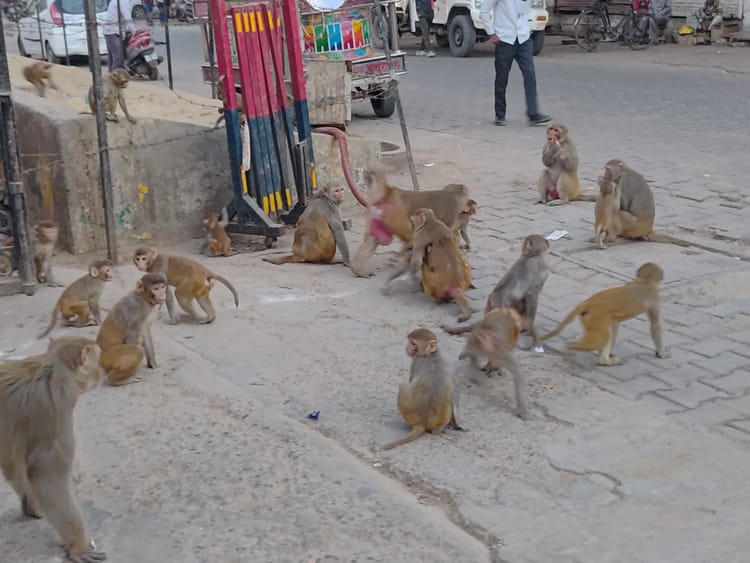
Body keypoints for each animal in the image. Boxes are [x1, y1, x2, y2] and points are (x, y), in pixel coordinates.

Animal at [0, 335, 108, 563]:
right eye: (98, 359)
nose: (103, 370)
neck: (54, 372)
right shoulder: (55, 413)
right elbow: (47, 480)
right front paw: (79, 547)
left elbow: (13, 463)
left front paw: (31, 503)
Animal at [537, 262, 670, 366]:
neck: (643, 282)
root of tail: (589, 301)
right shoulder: (654, 298)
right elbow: (655, 326)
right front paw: (662, 353)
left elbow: (615, 323)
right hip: (595, 317)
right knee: (605, 336)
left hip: (590, 317)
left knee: (608, 333)